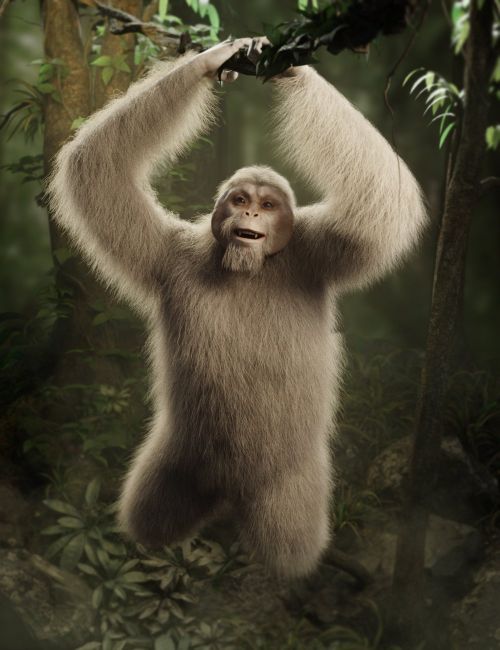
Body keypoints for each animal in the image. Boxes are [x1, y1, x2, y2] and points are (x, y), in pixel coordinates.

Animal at [48, 38, 427, 578]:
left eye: (268, 205)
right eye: (241, 198)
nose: (248, 211)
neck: (250, 267)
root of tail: (227, 496)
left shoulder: (320, 252)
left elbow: (379, 206)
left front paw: (293, 68)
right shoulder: (169, 254)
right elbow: (99, 175)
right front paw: (211, 60)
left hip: (290, 491)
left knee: (288, 546)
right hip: (174, 464)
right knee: (153, 516)